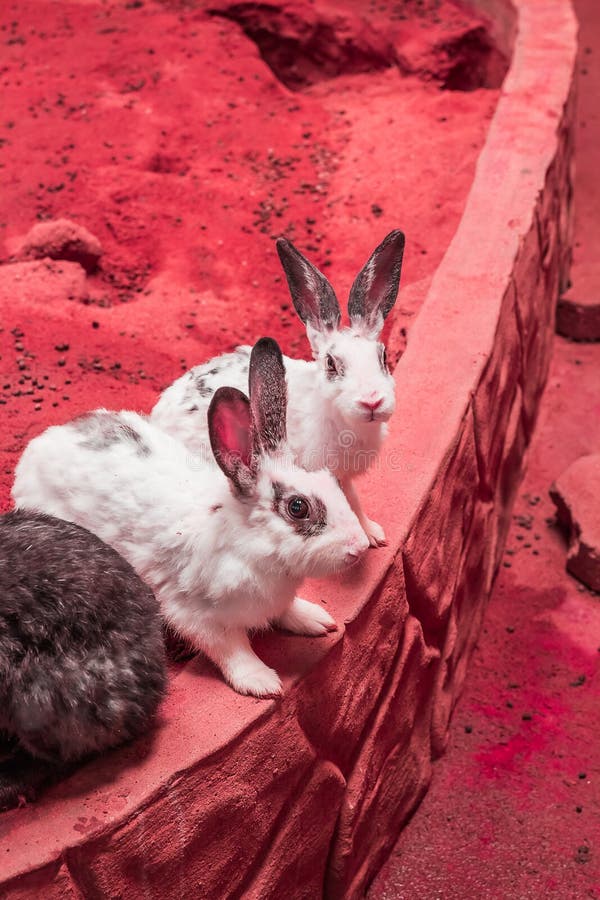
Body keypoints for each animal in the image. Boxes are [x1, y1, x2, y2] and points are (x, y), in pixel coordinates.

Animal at [12, 338, 369, 699]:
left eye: (329, 480)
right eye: (298, 507)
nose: (360, 546)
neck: (247, 543)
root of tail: (39, 446)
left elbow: (286, 611)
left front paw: (317, 620)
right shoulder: (197, 616)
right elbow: (233, 650)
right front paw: (263, 682)